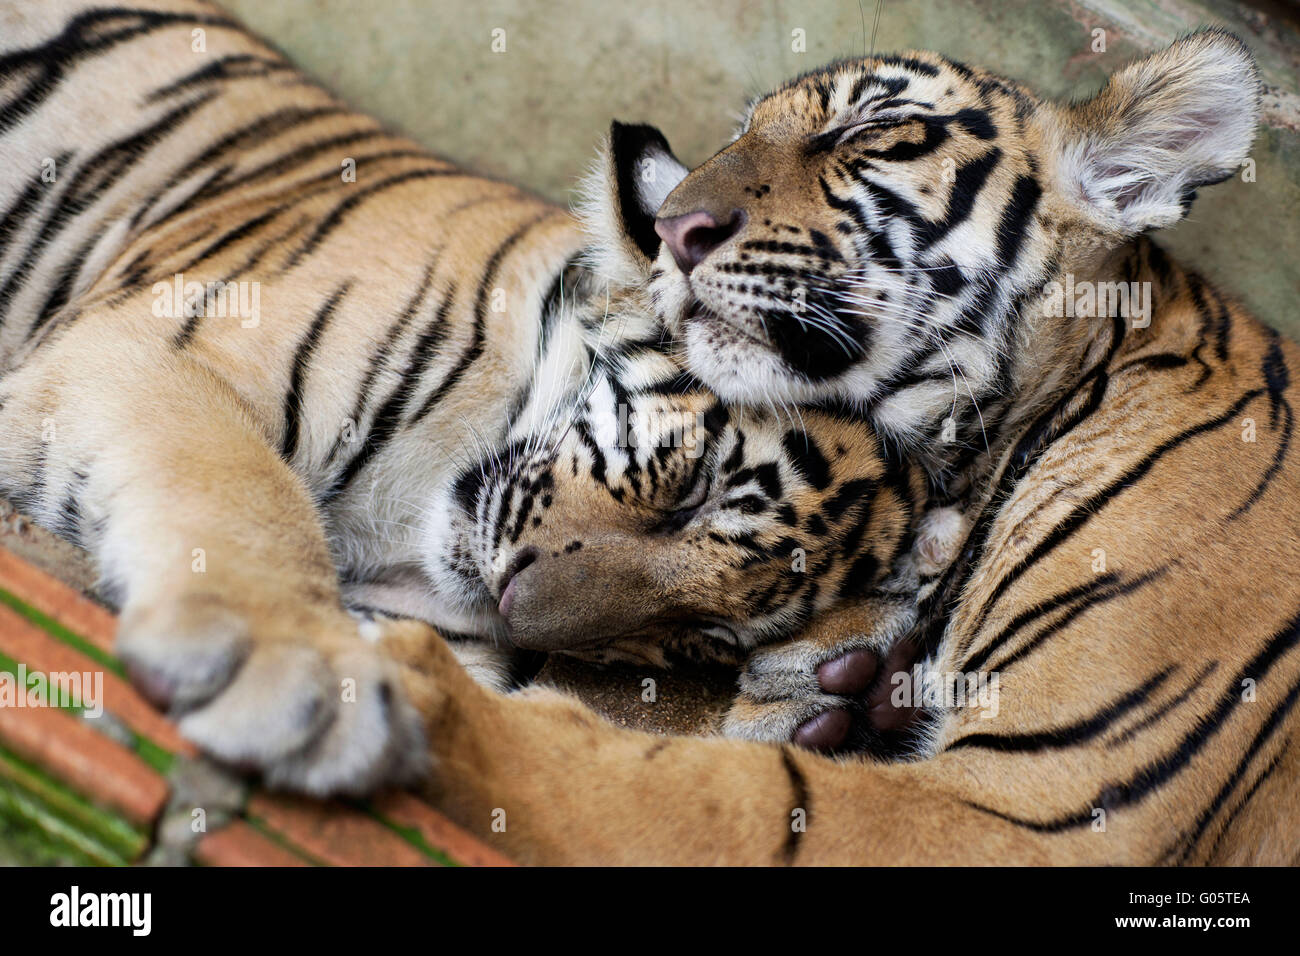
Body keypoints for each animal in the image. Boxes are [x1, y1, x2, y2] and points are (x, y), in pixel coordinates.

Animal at [0, 0, 960, 793]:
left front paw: (830, 691)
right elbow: (240, 490)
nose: (514, 612)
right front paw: (298, 680)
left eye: (706, 638)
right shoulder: (155, 347)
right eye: (690, 489)